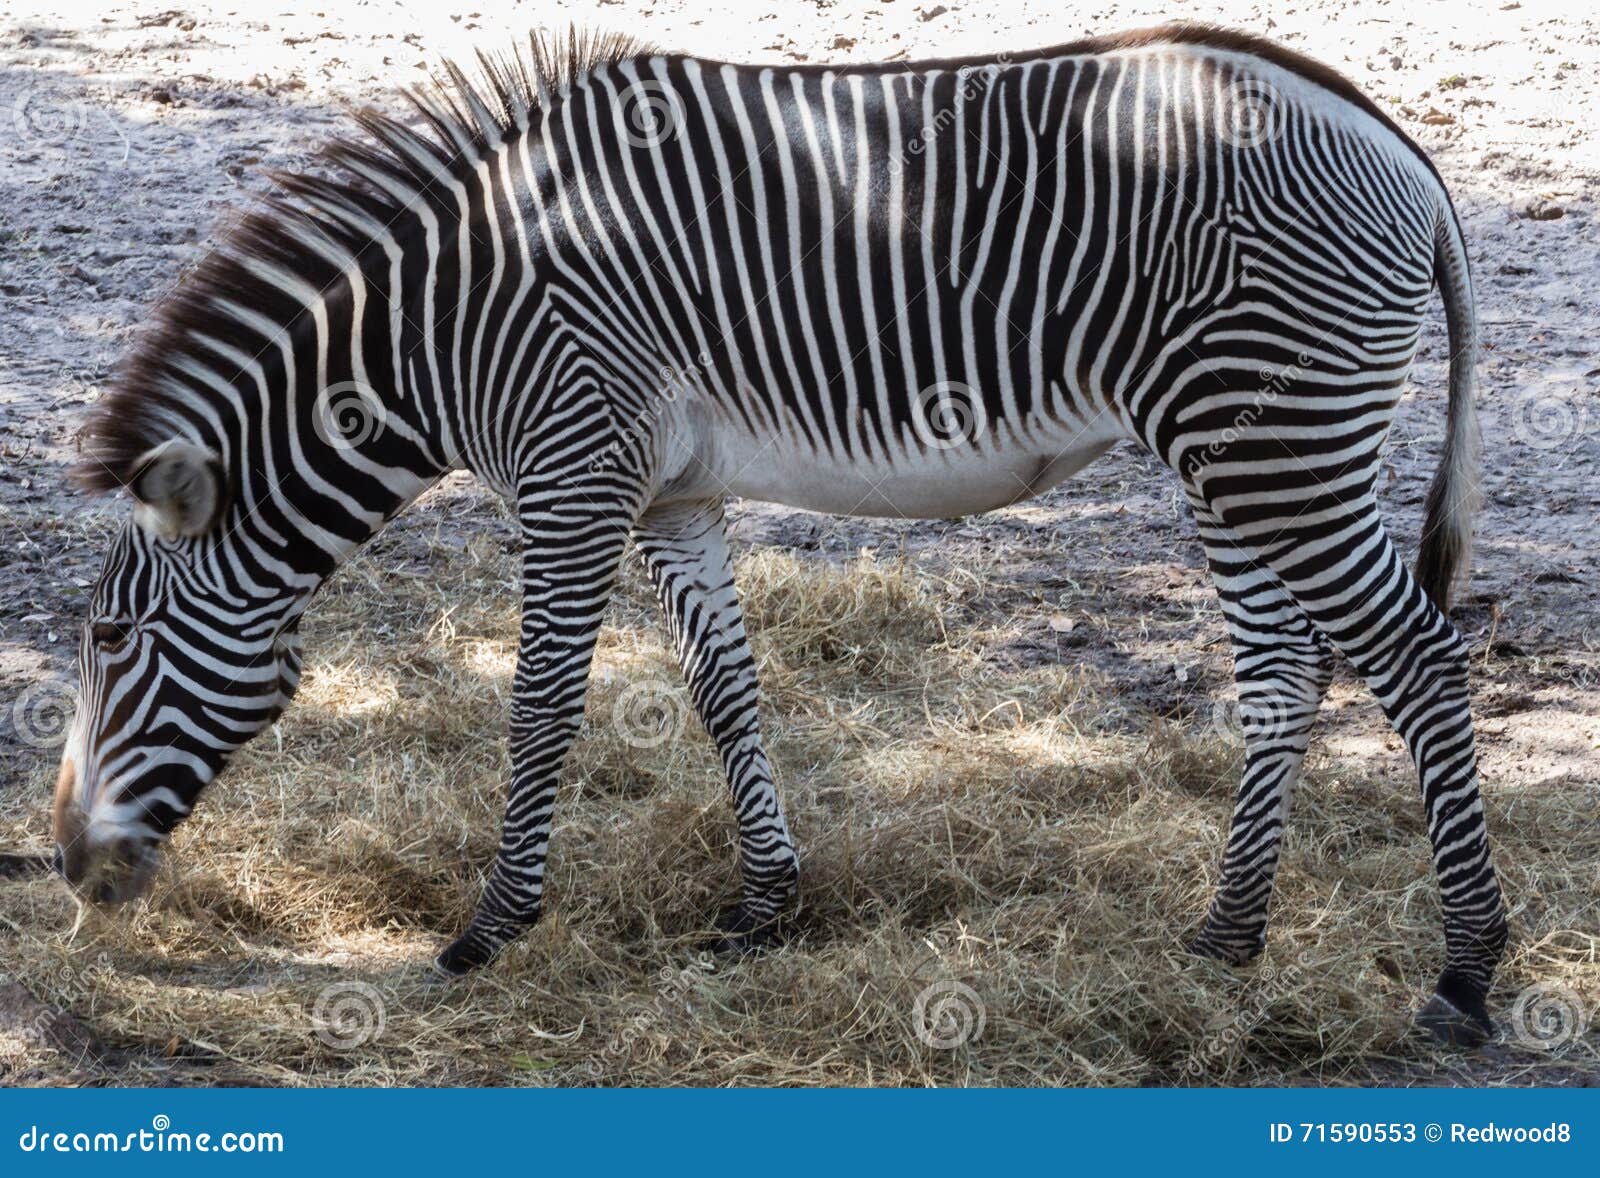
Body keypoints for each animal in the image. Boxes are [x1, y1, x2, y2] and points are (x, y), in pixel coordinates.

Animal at [51, 23, 1507, 1043]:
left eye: (110, 635)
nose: (65, 867)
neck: (446, 327)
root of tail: (1405, 151)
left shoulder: (573, 474)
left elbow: (542, 705)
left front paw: (489, 927)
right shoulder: (670, 493)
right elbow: (723, 687)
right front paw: (763, 903)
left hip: (1277, 437)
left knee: (1421, 659)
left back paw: (1464, 973)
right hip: (1237, 452)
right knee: (1285, 675)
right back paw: (1226, 938)